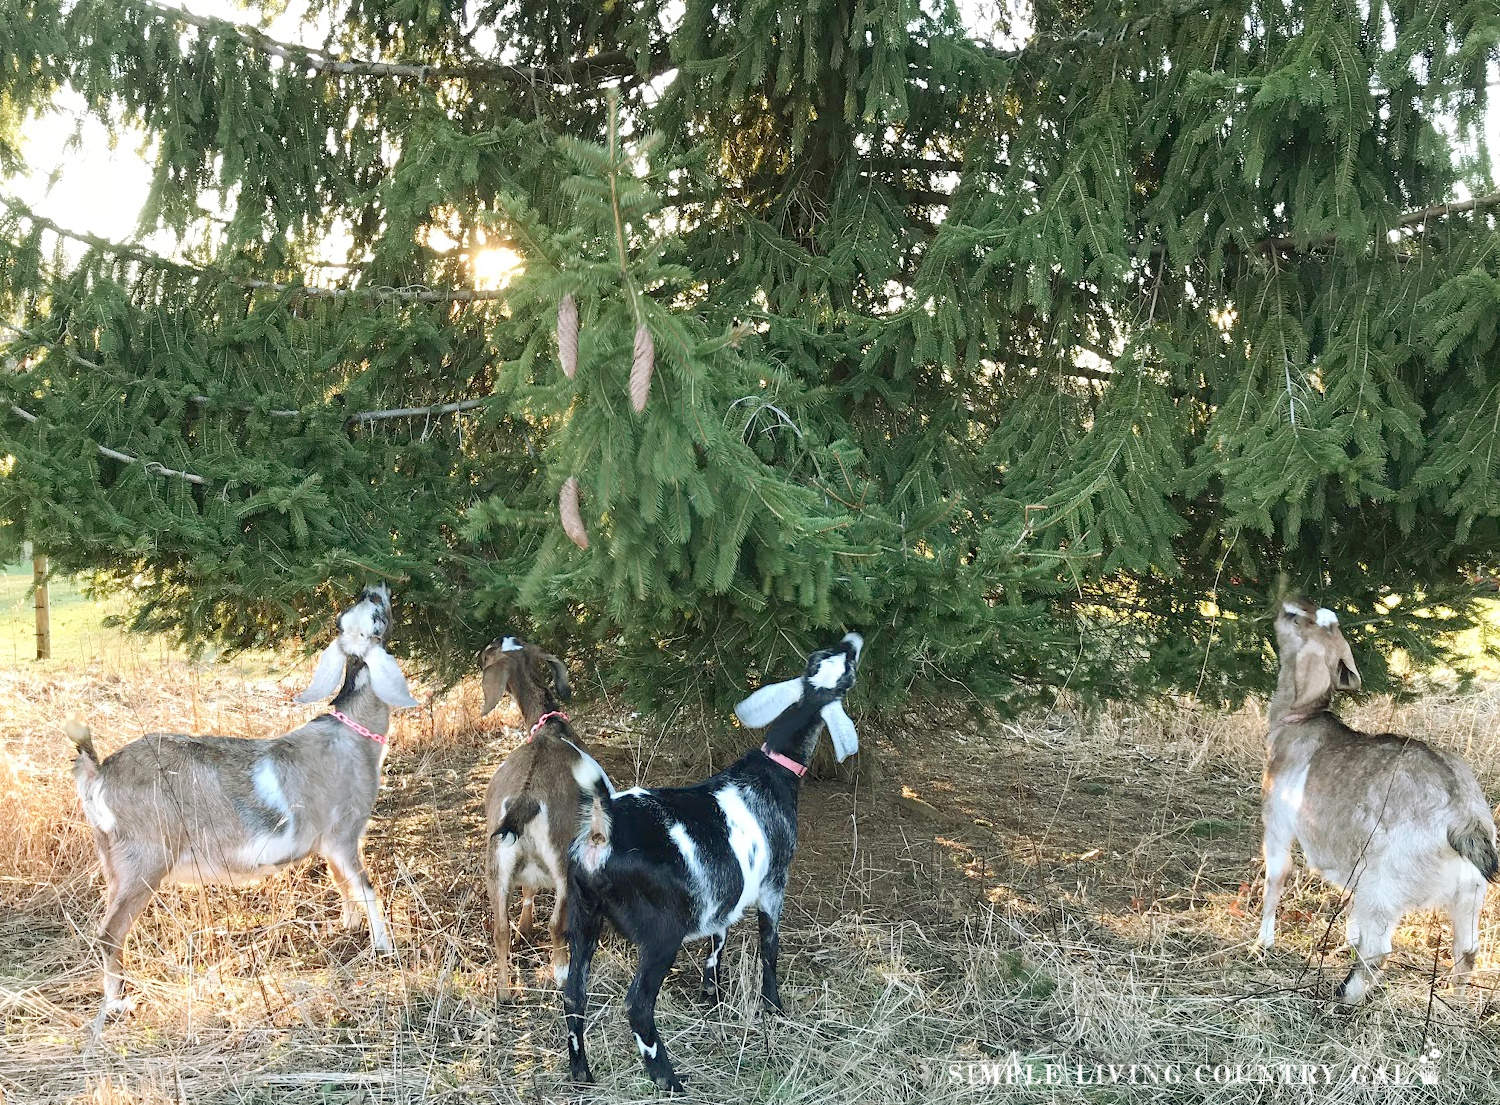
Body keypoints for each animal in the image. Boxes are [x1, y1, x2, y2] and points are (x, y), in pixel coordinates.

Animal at [65, 583, 420, 1030]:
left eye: (348, 616)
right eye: (377, 617)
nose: (373, 589)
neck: (352, 735)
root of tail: (98, 773)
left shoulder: (329, 845)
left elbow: (342, 884)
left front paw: (346, 925)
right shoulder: (343, 834)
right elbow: (366, 887)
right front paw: (384, 946)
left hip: (111, 860)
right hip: (143, 861)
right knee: (109, 934)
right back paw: (118, 1003)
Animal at [479, 635, 613, 997]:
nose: (481, 651)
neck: (550, 728)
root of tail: (525, 799)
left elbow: (527, 892)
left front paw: (525, 928)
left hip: (497, 864)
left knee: (500, 928)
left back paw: (504, 991)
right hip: (565, 860)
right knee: (557, 926)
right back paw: (563, 975)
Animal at [562, 633, 863, 1091]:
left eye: (821, 655)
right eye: (847, 672)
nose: (852, 640)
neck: (773, 770)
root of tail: (603, 828)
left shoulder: (723, 889)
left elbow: (719, 936)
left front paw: (710, 993)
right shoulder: (774, 881)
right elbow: (769, 945)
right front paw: (774, 1005)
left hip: (583, 913)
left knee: (573, 993)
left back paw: (582, 1073)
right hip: (662, 930)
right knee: (637, 1004)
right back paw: (668, 1080)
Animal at [1256, 597, 1498, 1004]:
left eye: (1298, 620)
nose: (1285, 604)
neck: (1300, 721)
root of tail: (1464, 816)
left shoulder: (1277, 819)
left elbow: (1278, 875)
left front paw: (1263, 942)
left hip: (1382, 883)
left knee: (1379, 951)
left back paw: (1344, 997)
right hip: (1470, 891)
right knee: (1467, 949)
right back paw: (1453, 1000)